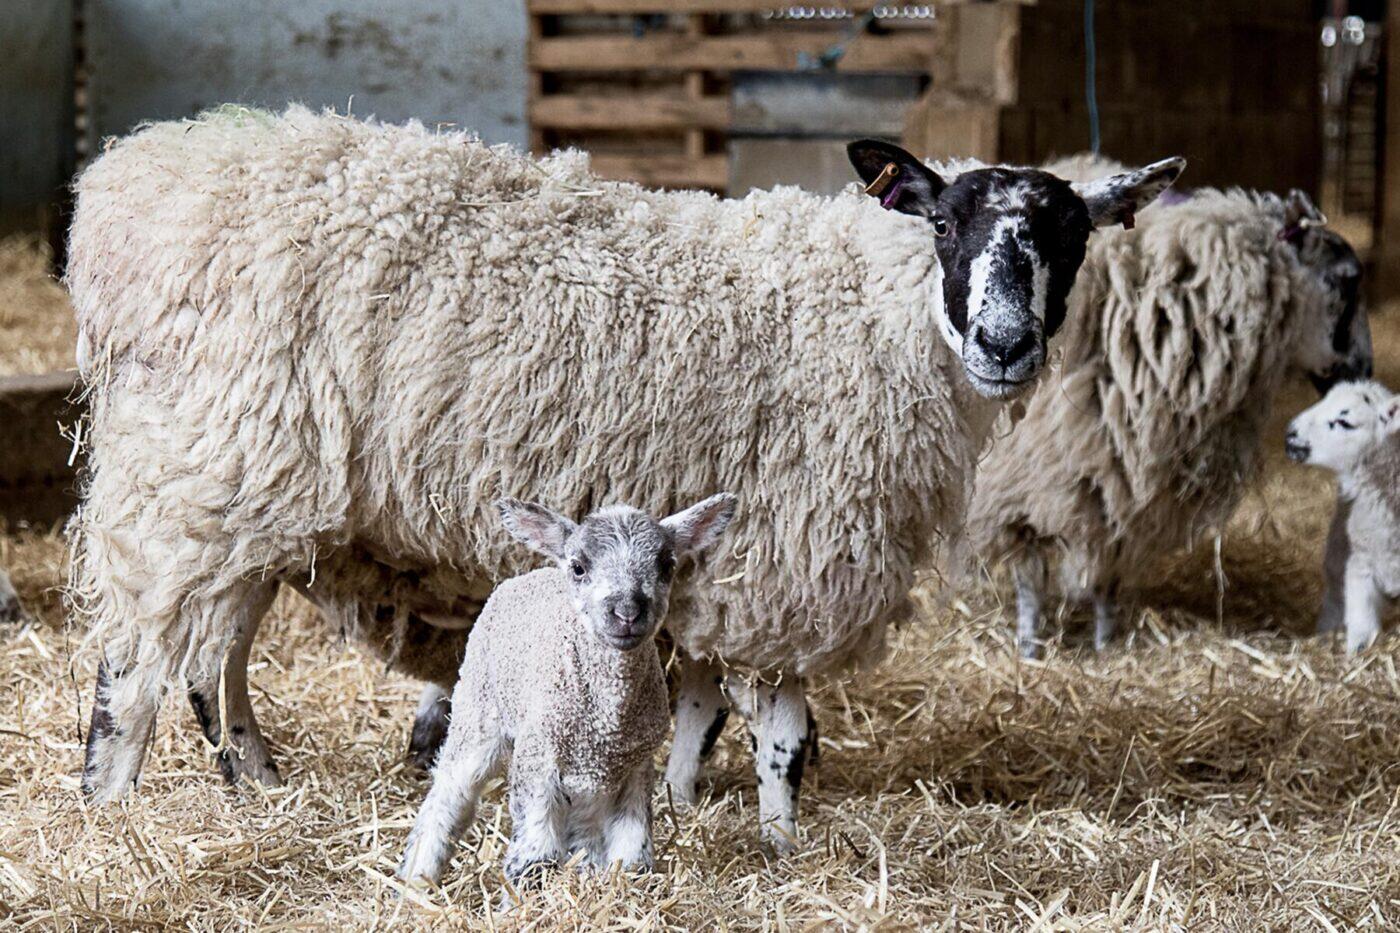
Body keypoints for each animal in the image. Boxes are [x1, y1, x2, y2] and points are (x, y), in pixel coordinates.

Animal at [398, 493, 736, 885]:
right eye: (578, 567)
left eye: (666, 566)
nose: (627, 612)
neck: (608, 720)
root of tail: (532, 574)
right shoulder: (538, 759)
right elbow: (536, 854)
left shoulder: (637, 767)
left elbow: (633, 853)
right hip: (478, 709)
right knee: (450, 793)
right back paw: (416, 877)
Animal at [966, 163, 1373, 658]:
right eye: (1348, 279)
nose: (1365, 369)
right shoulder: (1028, 476)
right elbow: (1029, 573)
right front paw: (1029, 647)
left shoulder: (1119, 477)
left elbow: (1106, 574)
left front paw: (1106, 646)